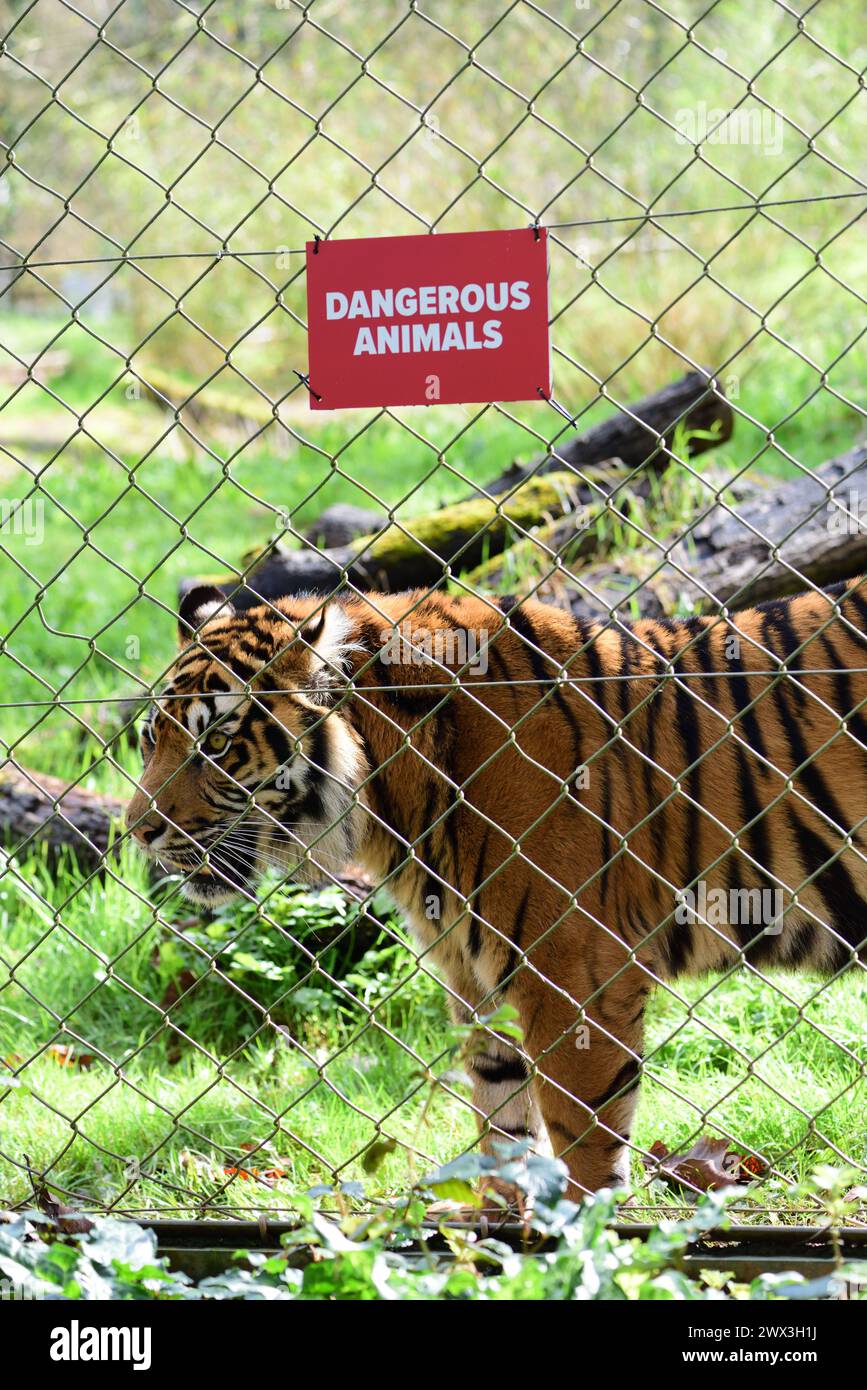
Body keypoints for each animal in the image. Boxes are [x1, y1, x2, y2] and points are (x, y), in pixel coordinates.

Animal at [126, 576, 867, 1199]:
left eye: (217, 744)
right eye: (150, 738)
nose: (138, 831)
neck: (392, 801)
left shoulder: (574, 974)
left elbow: (584, 1148)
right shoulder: (475, 977)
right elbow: (502, 1127)